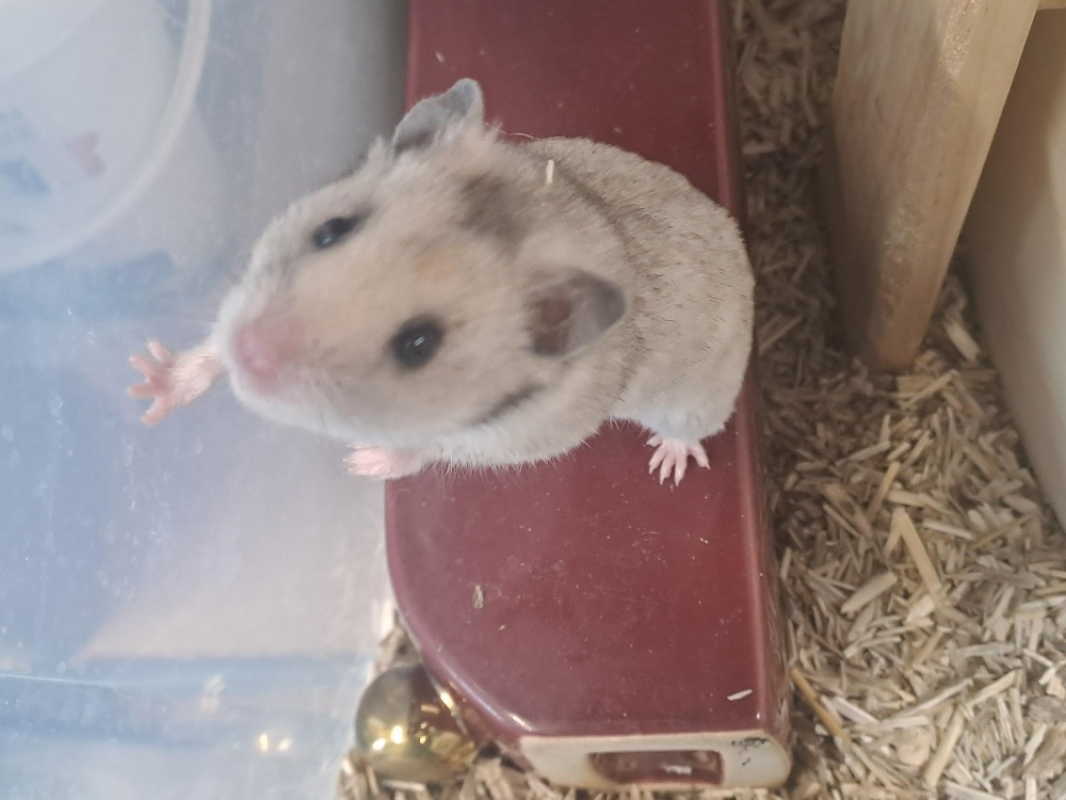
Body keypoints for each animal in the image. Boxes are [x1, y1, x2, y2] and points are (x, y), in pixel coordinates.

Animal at [129, 78, 753, 485]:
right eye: (332, 230)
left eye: (419, 344)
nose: (250, 351)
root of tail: (736, 236)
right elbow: (208, 349)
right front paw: (148, 383)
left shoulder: (517, 437)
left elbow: (427, 449)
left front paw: (363, 461)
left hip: (699, 399)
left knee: (690, 427)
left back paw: (669, 464)